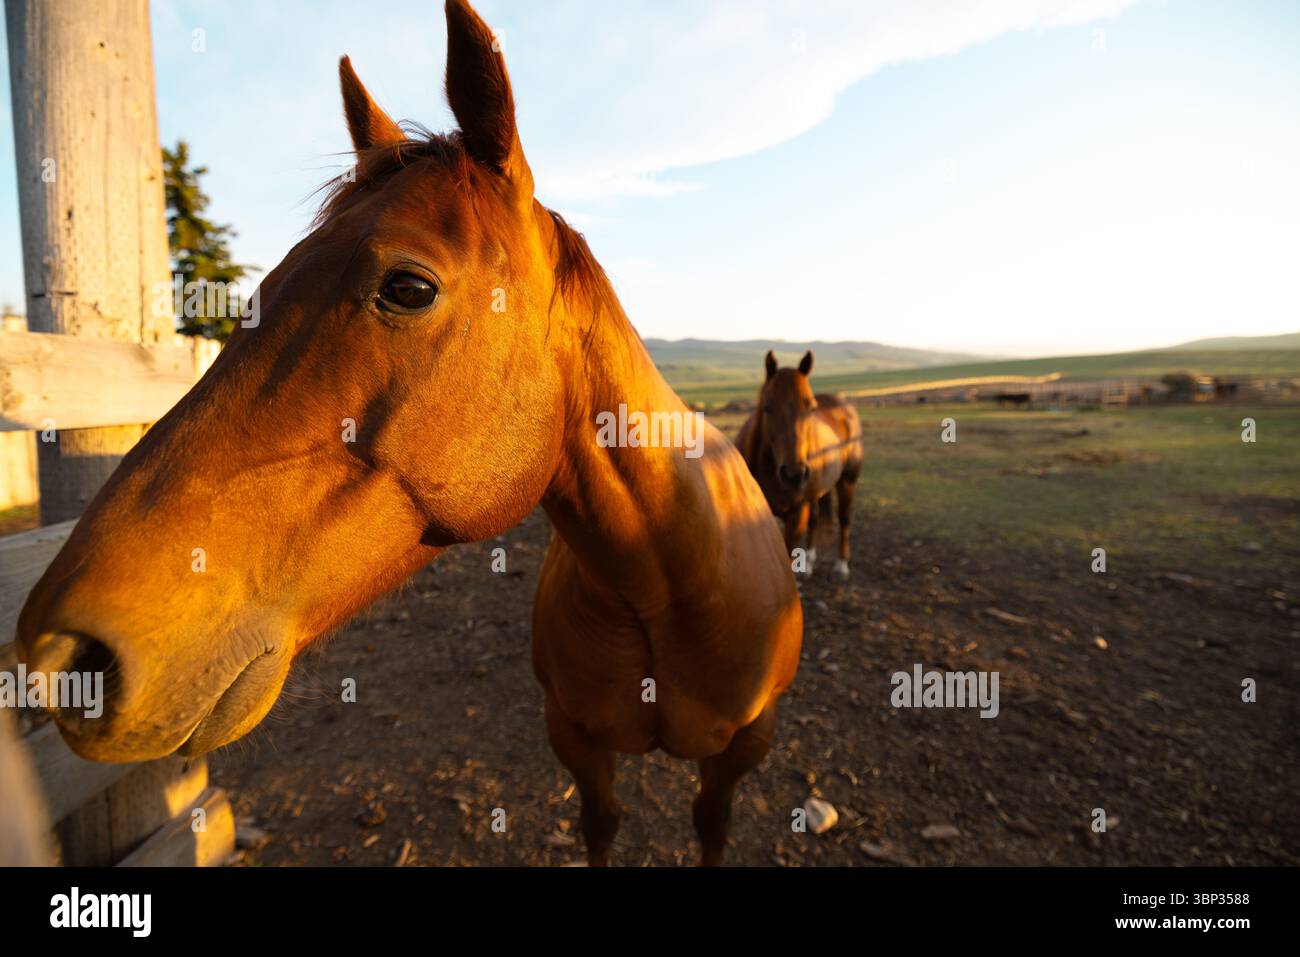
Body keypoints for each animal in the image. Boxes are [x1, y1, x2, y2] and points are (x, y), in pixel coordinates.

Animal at [14, 0, 801, 867]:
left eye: (409, 287)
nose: (66, 657)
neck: (666, 586)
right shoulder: (579, 746)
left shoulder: (739, 754)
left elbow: (712, 824)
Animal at [736, 350, 864, 580]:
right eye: (767, 407)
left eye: (811, 408)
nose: (793, 474)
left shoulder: (795, 515)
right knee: (815, 519)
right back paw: (810, 562)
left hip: (847, 482)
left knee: (844, 518)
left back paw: (841, 565)